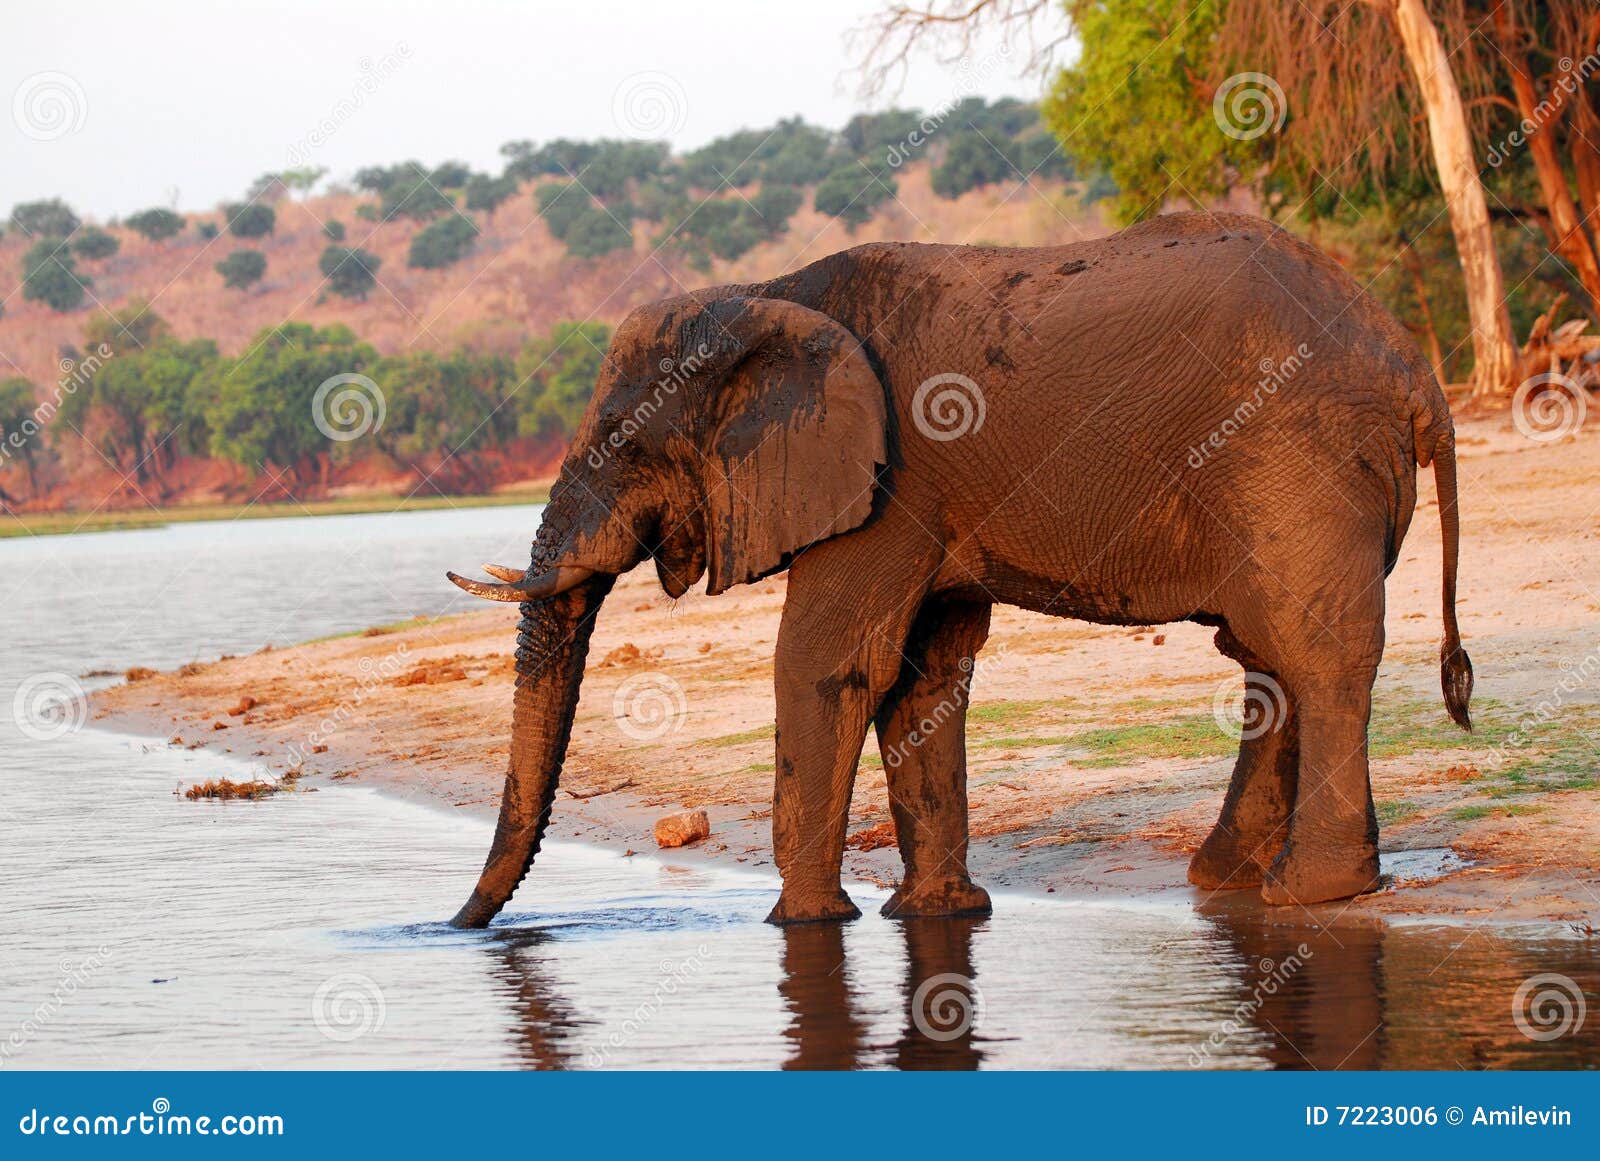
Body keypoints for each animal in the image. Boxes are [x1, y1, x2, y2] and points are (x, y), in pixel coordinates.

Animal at [445, 209, 1472, 929]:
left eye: (625, 441)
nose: (457, 927)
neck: (767, 292)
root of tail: (1415, 371)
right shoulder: (918, 496)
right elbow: (923, 676)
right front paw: (935, 915)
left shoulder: (889, 479)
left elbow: (825, 662)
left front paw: (805, 925)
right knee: (1269, 651)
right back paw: (1230, 879)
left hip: (1298, 457)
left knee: (1313, 647)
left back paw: (1310, 894)